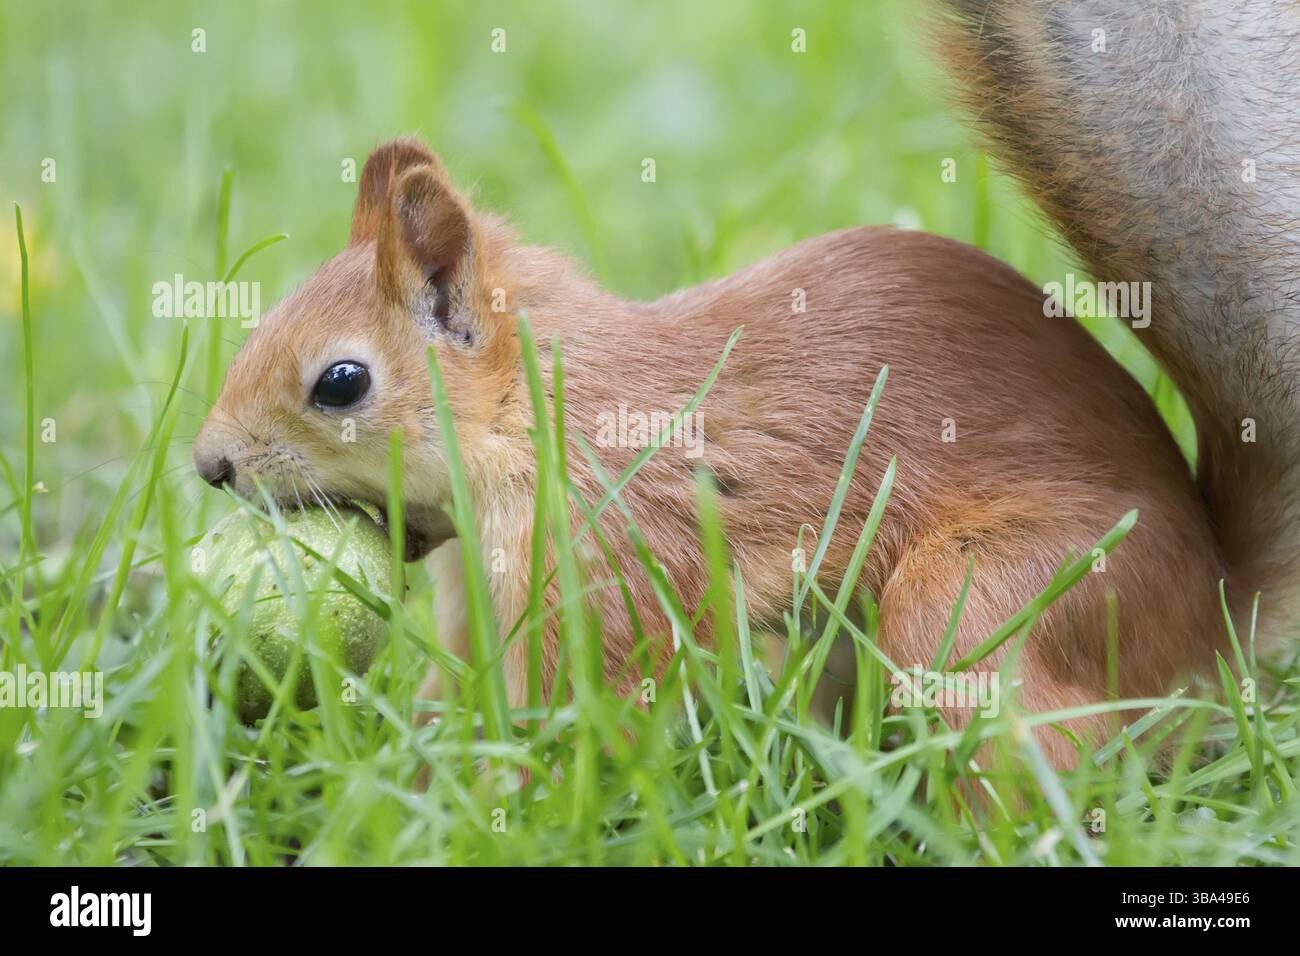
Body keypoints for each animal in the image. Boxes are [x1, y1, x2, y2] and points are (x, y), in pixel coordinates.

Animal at [193, 0, 1298, 768]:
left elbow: (589, 697)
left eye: (342, 381)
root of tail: (1213, 606)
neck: (544, 417)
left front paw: (501, 790)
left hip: (995, 597)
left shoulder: (618, 548)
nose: (209, 466)